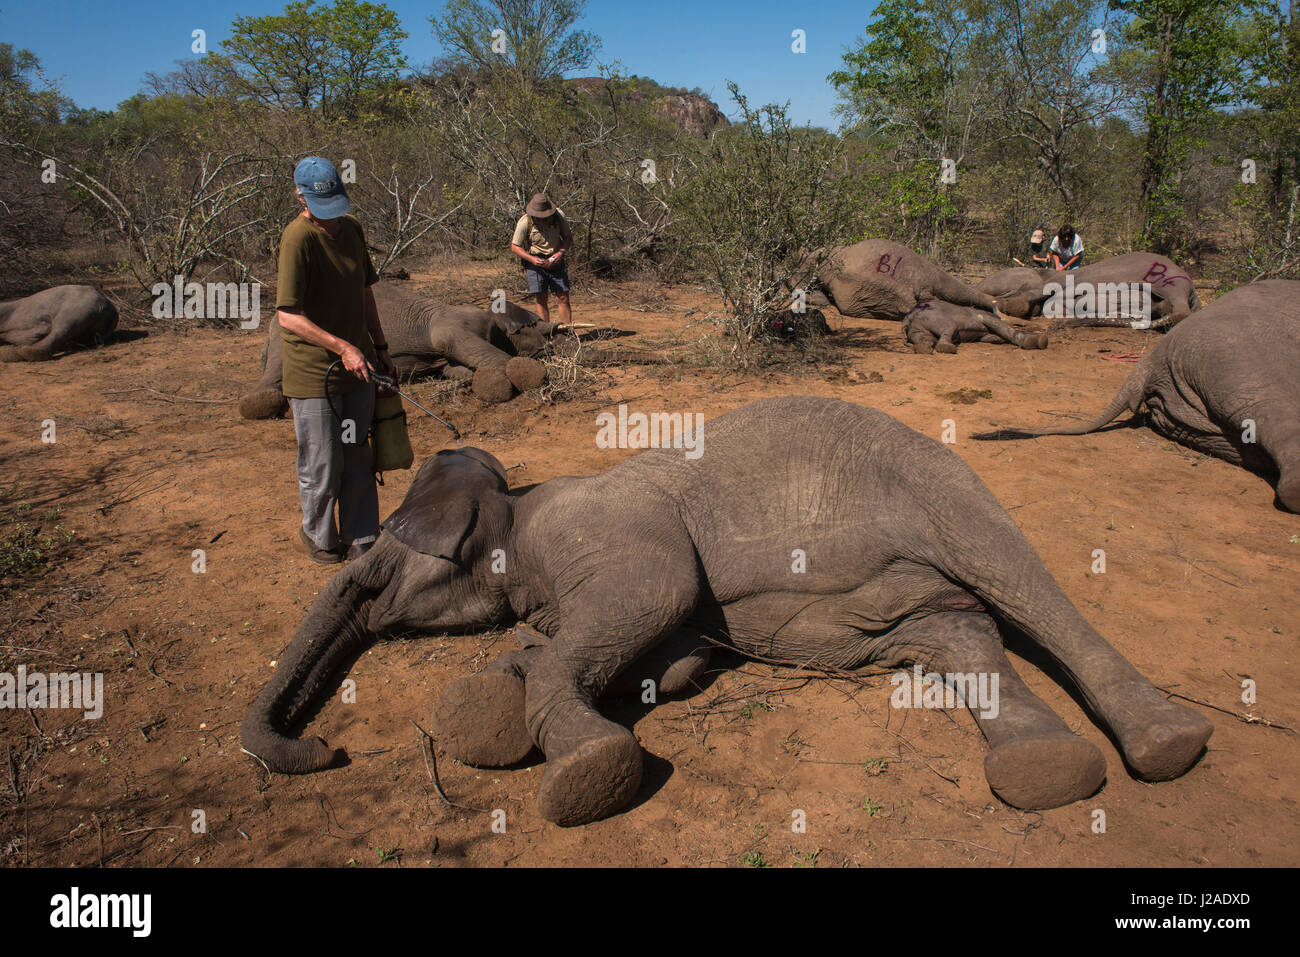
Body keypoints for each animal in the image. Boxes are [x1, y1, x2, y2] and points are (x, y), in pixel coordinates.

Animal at [239, 281, 555, 419]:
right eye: (531, 328)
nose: (548, 349)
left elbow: (452, 366)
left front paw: (472, 380)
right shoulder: (455, 325)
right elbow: (461, 345)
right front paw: (528, 376)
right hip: (289, 332)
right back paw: (260, 404)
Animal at [240, 396, 1212, 826]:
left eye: (372, 578)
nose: (325, 747)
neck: (515, 505)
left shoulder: (613, 527)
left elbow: (655, 593)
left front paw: (587, 774)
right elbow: (669, 659)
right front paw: (492, 703)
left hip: (944, 486)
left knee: (1022, 586)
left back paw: (1167, 744)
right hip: (905, 604)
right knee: (958, 627)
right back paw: (1047, 770)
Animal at [903, 299, 1049, 354]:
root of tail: (909, 316)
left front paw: (997, 339)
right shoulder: (982, 316)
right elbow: (1001, 326)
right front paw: (1033, 341)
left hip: (917, 328)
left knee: (926, 339)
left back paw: (923, 348)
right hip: (936, 317)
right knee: (947, 329)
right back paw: (947, 348)